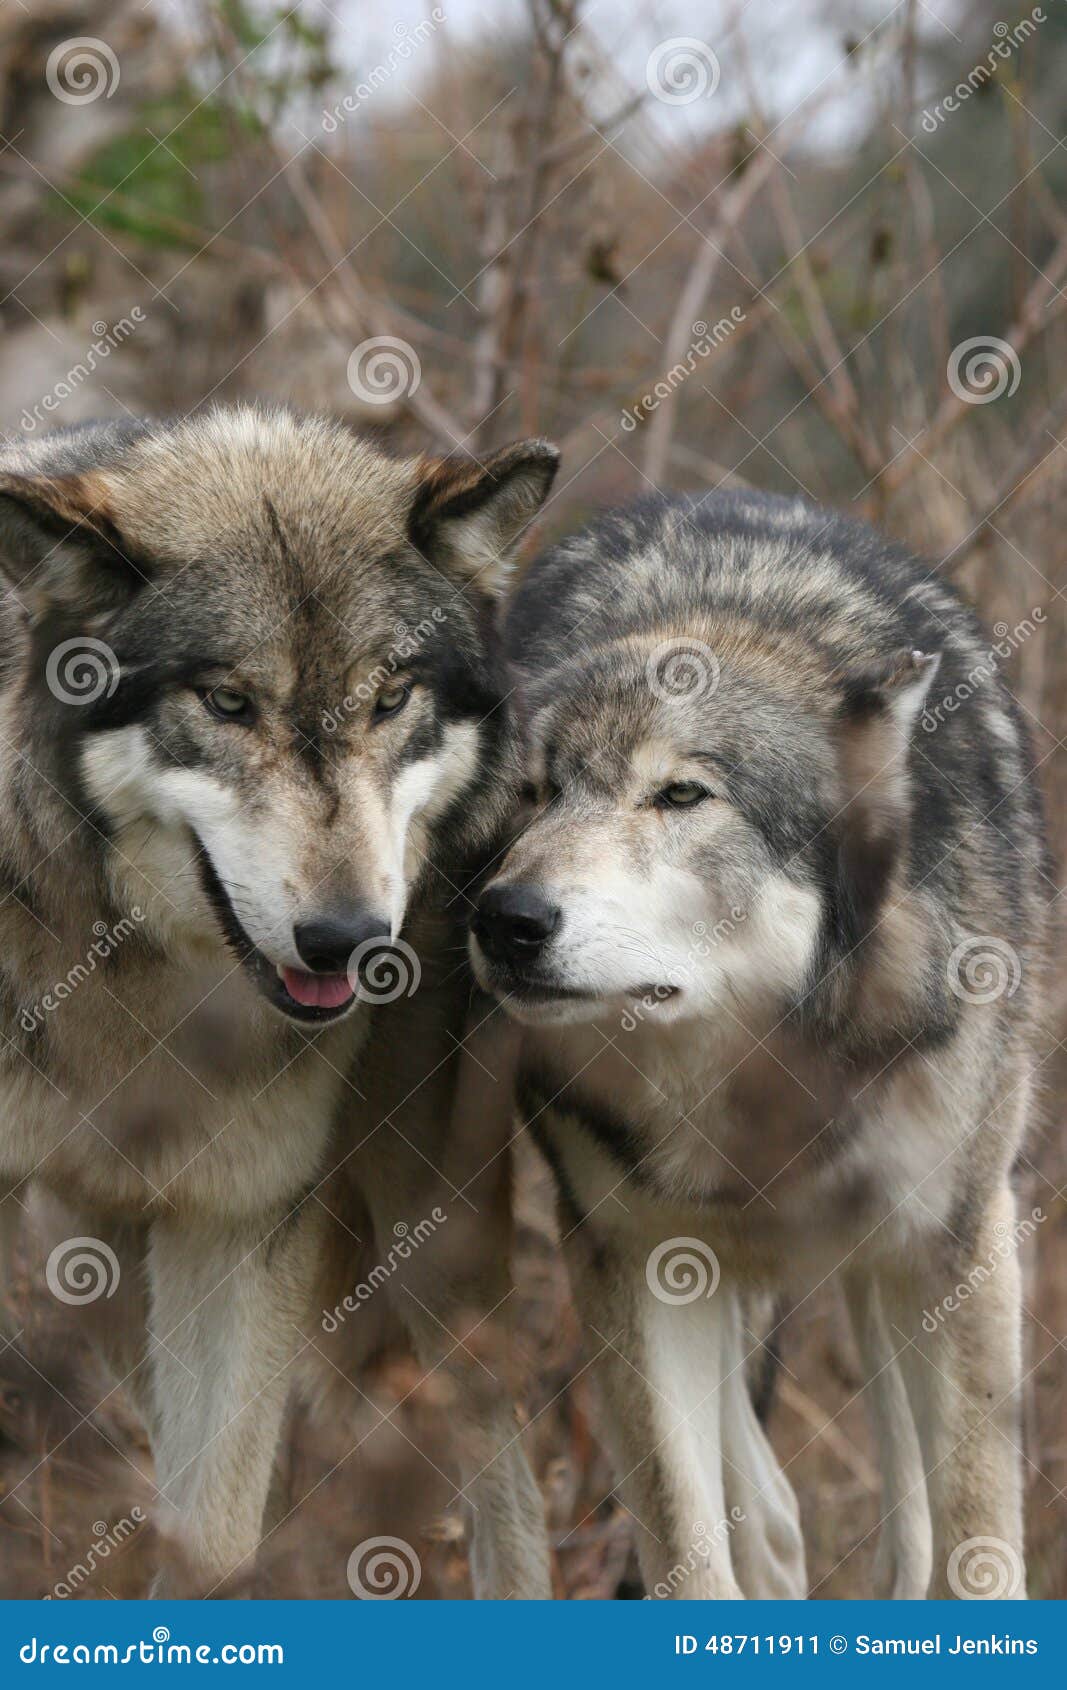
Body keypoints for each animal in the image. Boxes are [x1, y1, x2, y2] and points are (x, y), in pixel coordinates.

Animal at [0, 405, 558, 1597]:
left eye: (389, 699)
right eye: (226, 702)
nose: (348, 941)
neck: (127, 979)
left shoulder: (244, 1217)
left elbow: (212, 1539)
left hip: (430, 1240)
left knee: (504, 1472)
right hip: (97, 1261)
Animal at [471, 489, 1048, 1600]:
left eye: (679, 796)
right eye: (531, 794)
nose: (507, 921)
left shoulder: (955, 1243)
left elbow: (972, 1547)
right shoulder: (627, 1256)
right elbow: (688, 1551)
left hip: (884, 1274)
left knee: (907, 1522)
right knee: (768, 1511)